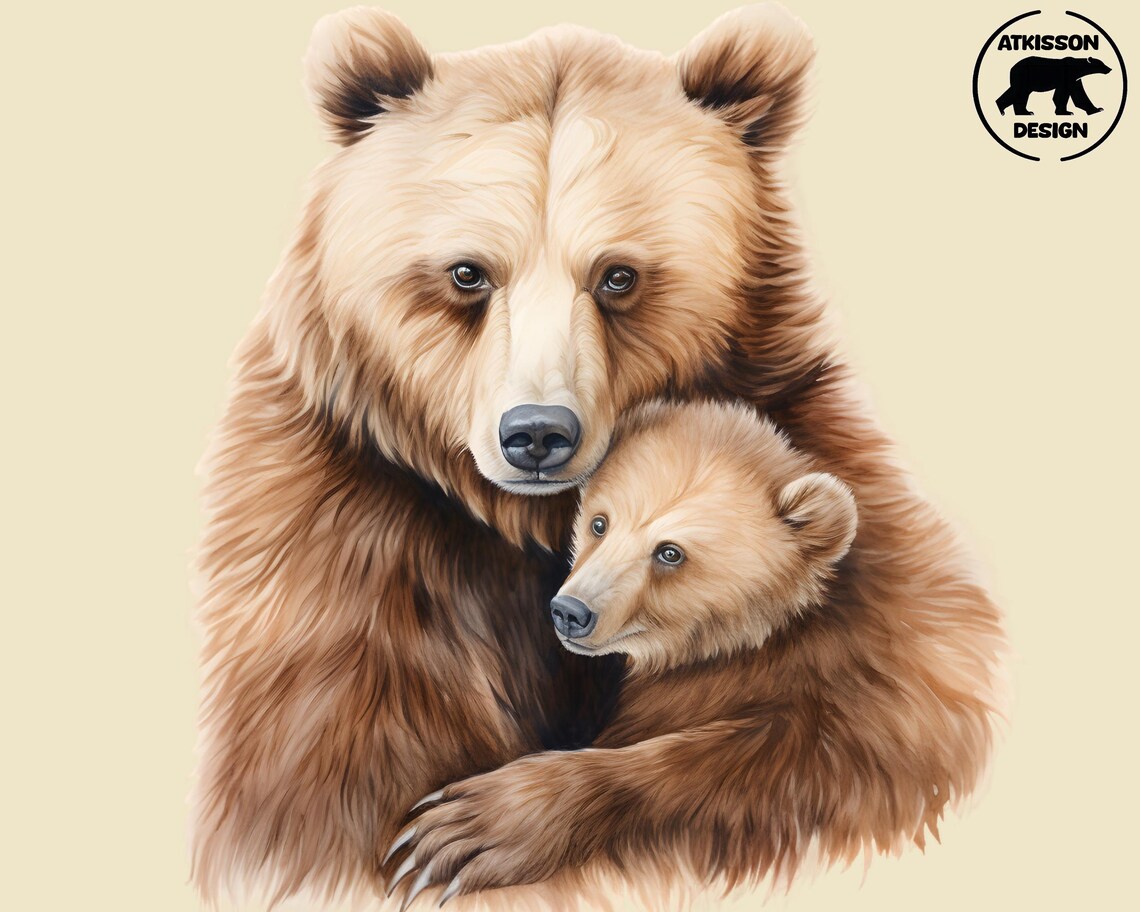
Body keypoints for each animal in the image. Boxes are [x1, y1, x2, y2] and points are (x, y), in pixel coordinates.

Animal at [191, 4, 1007, 908]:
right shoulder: (347, 551)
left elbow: (871, 727)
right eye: (467, 273)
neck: (523, 526)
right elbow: (333, 780)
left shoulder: (837, 512)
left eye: (619, 276)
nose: (538, 434)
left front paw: (490, 821)